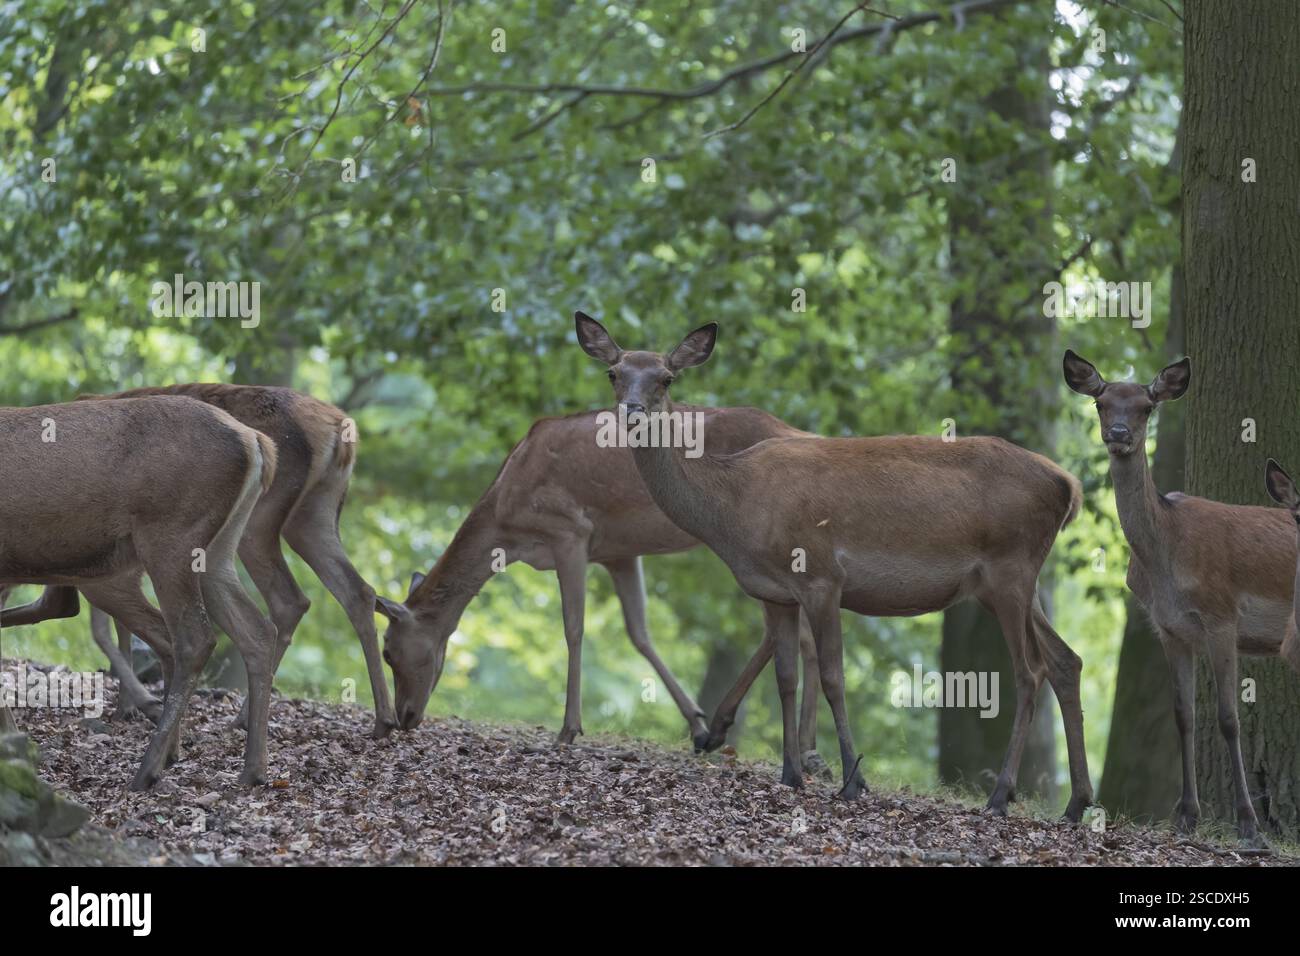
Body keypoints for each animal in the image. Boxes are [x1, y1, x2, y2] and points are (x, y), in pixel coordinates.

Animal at [0, 395, 280, 789]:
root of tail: (256, 441)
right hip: (217, 550)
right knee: (256, 631)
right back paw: (251, 769)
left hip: (170, 536)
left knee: (195, 638)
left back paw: (147, 769)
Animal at [12, 384, 394, 737]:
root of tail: (339, 427)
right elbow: (110, 625)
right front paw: (129, 705)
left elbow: (98, 624)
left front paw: (138, 703)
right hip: (313, 514)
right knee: (357, 591)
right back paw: (384, 719)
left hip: (257, 521)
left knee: (289, 600)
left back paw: (243, 717)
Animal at [375, 403, 831, 770]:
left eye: (388, 651)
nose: (406, 717)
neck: (507, 521)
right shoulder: (617, 554)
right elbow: (639, 633)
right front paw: (696, 725)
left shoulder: (570, 531)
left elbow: (574, 628)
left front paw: (568, 730)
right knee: (801, 635)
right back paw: (801, 749)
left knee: (786, 629)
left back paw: (761, 736)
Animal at [575, 312, 1093, 820]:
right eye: (613, 373)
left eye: (666, 378)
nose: (632, 412)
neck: (734, 509)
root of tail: (1068, 487)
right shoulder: (774, 592)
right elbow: (786, 677)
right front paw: (790, 774)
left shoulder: (821, 576)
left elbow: (831, 677)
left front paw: (852, 780)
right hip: (1008, 583)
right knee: (1065, 659)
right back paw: (1076, 803)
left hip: (1011, 569)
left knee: (1030, 671)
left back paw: (1001, 796)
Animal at [1063, 351, 1300, 843]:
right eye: (1100, 403)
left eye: (1146, 407)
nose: (1119, 435)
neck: (1166, 562)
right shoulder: (1170, 629)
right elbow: (1183, 715)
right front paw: (1186, 815)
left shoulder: (1222, 616)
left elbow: (1229, 719)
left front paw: (1248, 823)